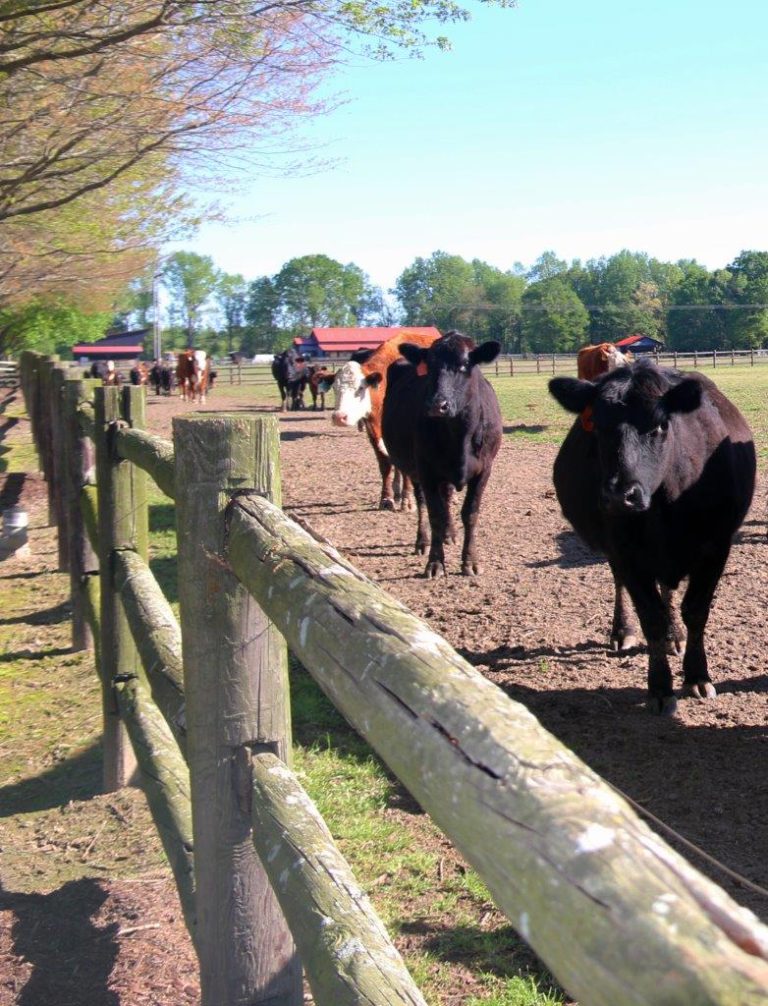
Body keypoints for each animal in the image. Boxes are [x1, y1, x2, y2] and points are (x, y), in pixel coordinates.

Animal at [330, 330, 440, 510]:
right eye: (334, 388)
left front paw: (407, 501)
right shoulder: (373, 432)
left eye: (360, 388)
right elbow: (385, 465)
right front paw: (386, 498)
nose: (339, 417)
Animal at [381, 331, 503, 578]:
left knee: (446, 496)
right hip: (415, 470)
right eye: (429, 366)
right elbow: (434, 513)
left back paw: (450, 535)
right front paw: (435, 562)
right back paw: (423, 541)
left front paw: (470, 561)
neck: (460, 438)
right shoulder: (426, 469)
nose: (437, 405)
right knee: (423, 503)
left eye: (464, 365)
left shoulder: (484, 470)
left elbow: (470, 512)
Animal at [549, 359, 756, 714]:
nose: (620, 495)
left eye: (660, 425)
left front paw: (697, 675)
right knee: (623, 585)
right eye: (597, 426)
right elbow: (651, 618)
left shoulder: (716, 547)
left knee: (668, 591)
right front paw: (660, 687)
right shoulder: (626, 552)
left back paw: (676, 636)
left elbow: (696, 611)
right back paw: (623, 631)